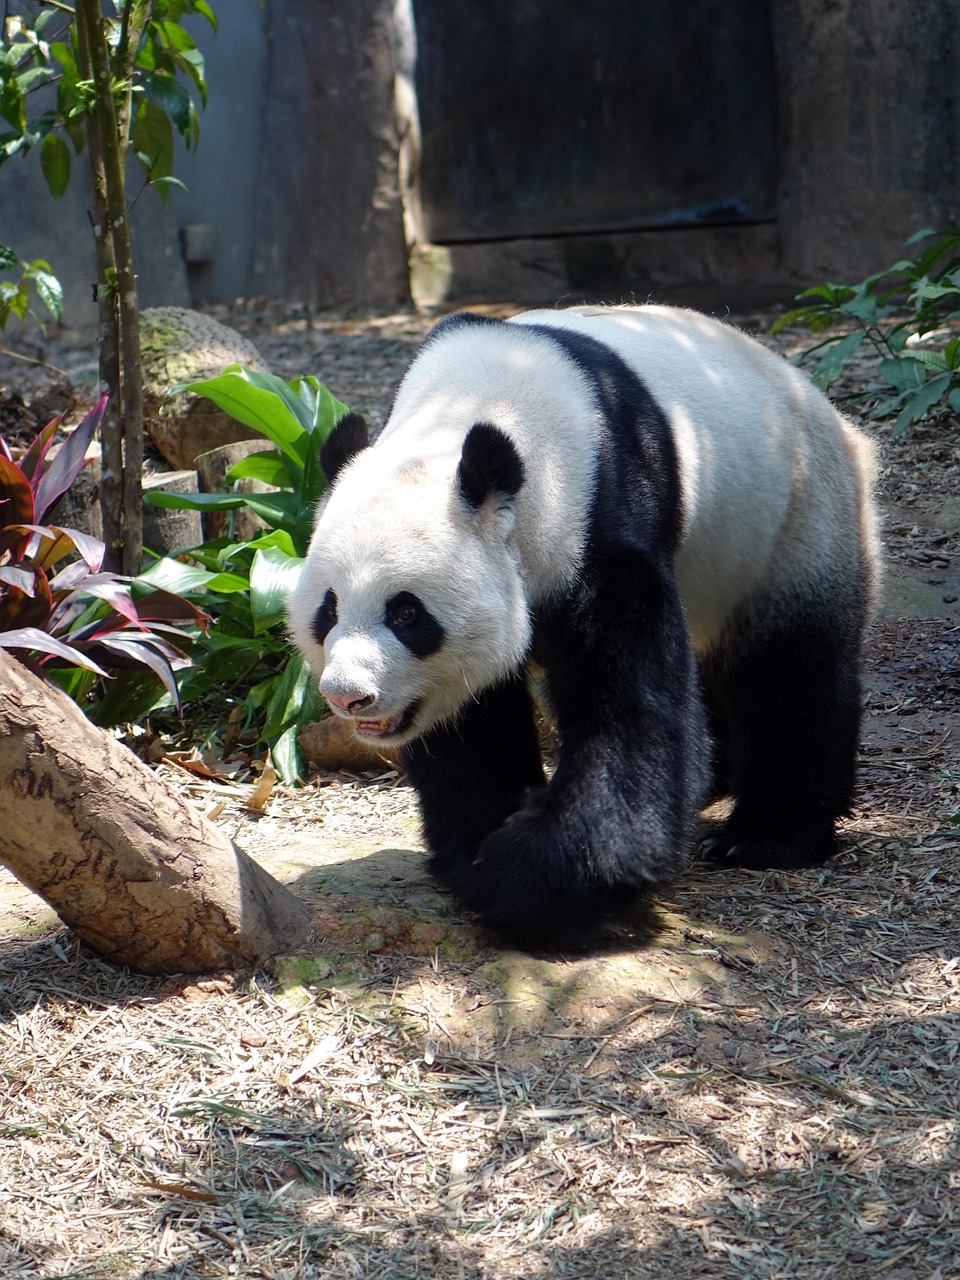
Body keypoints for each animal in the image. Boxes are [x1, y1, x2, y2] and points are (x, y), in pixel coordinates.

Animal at [287, 305, 880, 950]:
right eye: (329, 610)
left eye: (406, 613)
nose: (348, 696)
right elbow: (473, 722)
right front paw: (479, 845)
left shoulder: (601, 521)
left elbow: (629, 717)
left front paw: (528, 881)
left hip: (794, 524)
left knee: (790, 674)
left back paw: (763, 835)